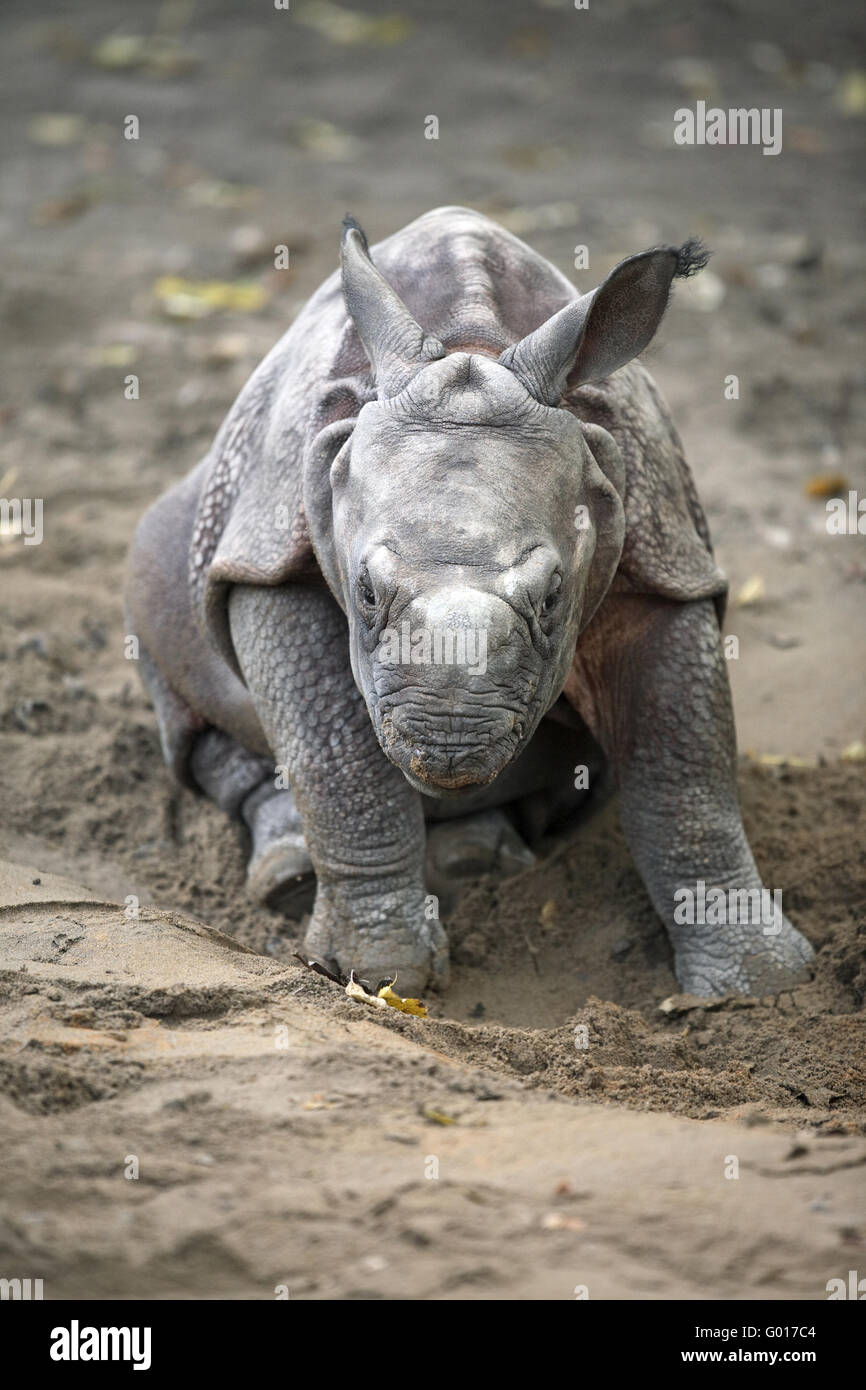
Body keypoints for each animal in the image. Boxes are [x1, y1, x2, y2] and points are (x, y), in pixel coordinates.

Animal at [126, 205, 814, 998]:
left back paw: (475, 859)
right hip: (179, 535)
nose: (446, 742)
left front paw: (761, 988)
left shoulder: (665, 565)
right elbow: (335, 759)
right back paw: (291, 880)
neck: (473, 346)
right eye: (364, 593)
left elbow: (686, 768)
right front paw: (374, 972)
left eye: (552, 598)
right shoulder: (270, 559)